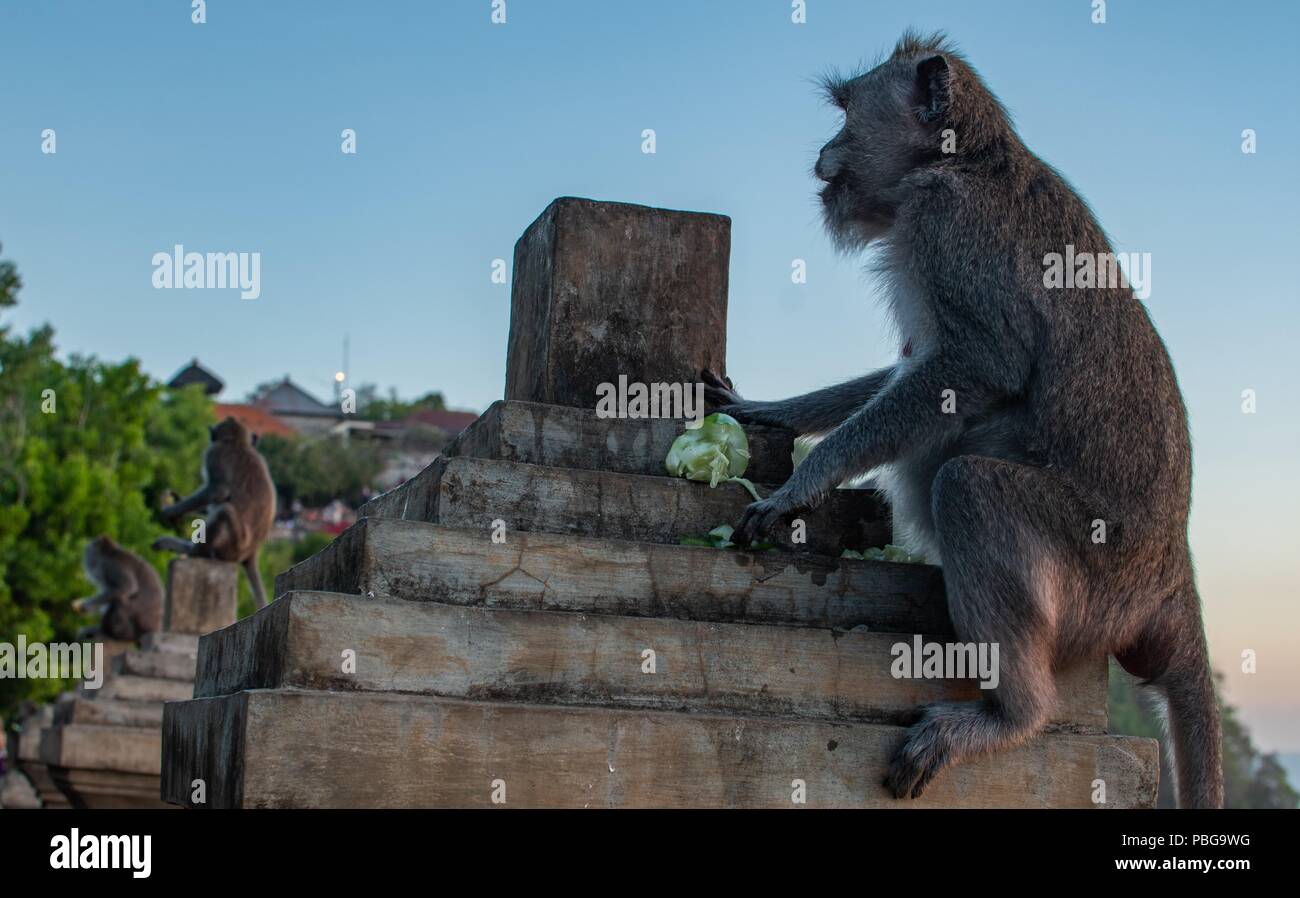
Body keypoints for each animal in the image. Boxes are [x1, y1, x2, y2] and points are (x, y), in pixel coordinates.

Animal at [152, 416, 277, 610]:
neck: (237, 443)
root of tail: (251, 553)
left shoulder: (214, 454)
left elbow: (218, 491)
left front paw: (170, 510)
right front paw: (177, 500)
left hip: (232, 544)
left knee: (223, 509)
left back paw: (193, 551)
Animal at [704, 31, 1222, 808]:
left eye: (846, 112)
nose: (822, 150)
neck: (965, 160)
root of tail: (1171, 575)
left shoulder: (946, 225)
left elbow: (975, 367)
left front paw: (801, 483)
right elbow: (912, 366)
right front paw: (771, 411)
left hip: (1096, 580)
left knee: (969, 485)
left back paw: (1010, 716)